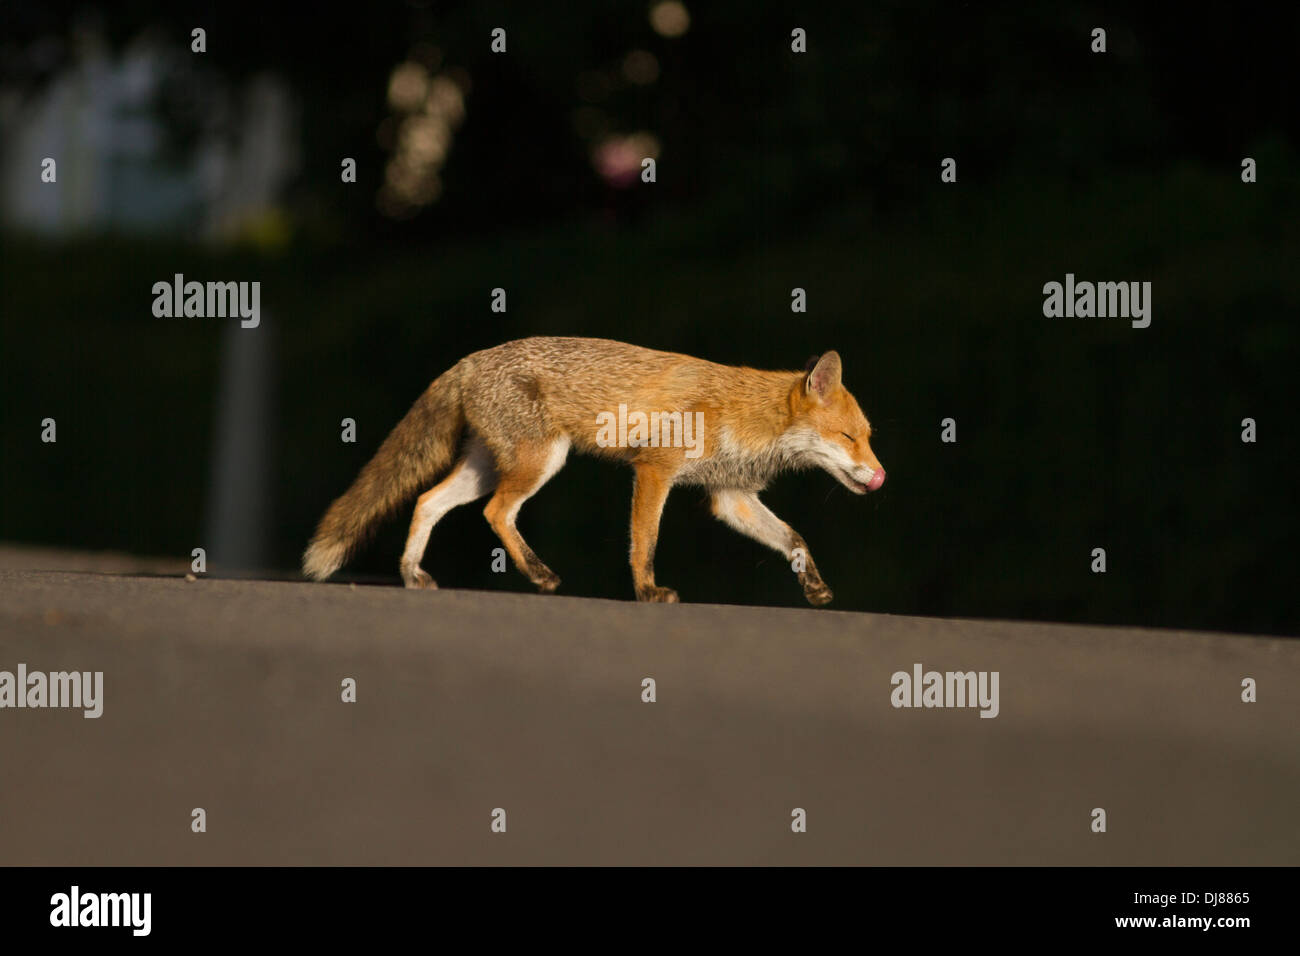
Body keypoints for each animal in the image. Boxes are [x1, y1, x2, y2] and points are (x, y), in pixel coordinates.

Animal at [302, 336, 886, 605]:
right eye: (849, 438)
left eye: (869, 437)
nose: (881, 477)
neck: (750, 417)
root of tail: (470, 359)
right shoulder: (655, 469)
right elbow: (643, 543)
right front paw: (647, 592)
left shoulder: (730, 495)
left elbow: (794, 539)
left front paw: (814, 588)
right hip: (539, 462)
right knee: (496, 513)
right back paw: (539, 575)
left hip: (487, 468)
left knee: (428, 501)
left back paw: (411, 575)